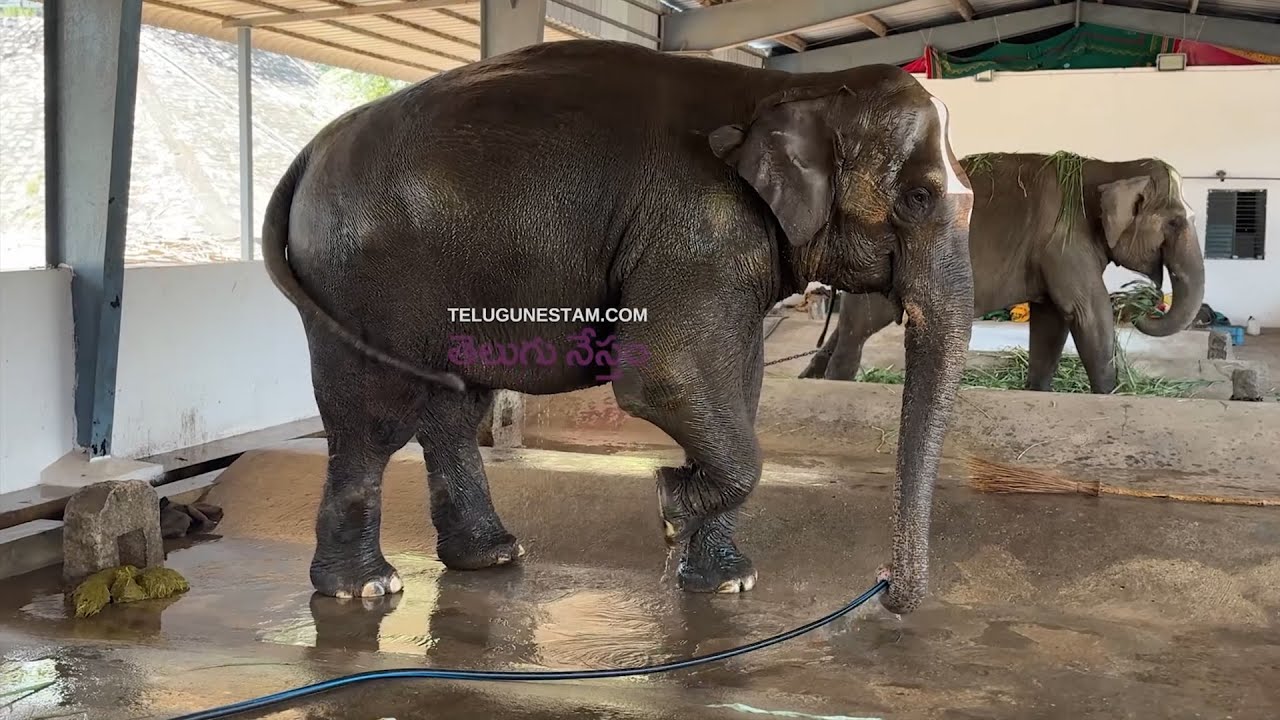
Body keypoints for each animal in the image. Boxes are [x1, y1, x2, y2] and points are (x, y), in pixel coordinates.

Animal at [261, 39, 974, 616]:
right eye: (919, 197)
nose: (884, 588)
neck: (788, 88)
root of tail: (308, 153)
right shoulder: (698, 231)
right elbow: (664, 375)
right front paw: (669, 505)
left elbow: (738, 384)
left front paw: (726, 582)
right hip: (355, 279)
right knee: (374, 420)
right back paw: (366, 589)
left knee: (453, 408)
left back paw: (493, 557)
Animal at [801, 152, 1205, 393]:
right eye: (1174, 222)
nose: (1147, 307)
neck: (1112, 167)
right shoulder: (1064, 243)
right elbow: (1088, 313)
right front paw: (1111, 395)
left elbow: (1051, 322)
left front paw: (1037, 392)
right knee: (858, 328)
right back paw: (836, 387)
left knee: (846, 328)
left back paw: (808, 379)